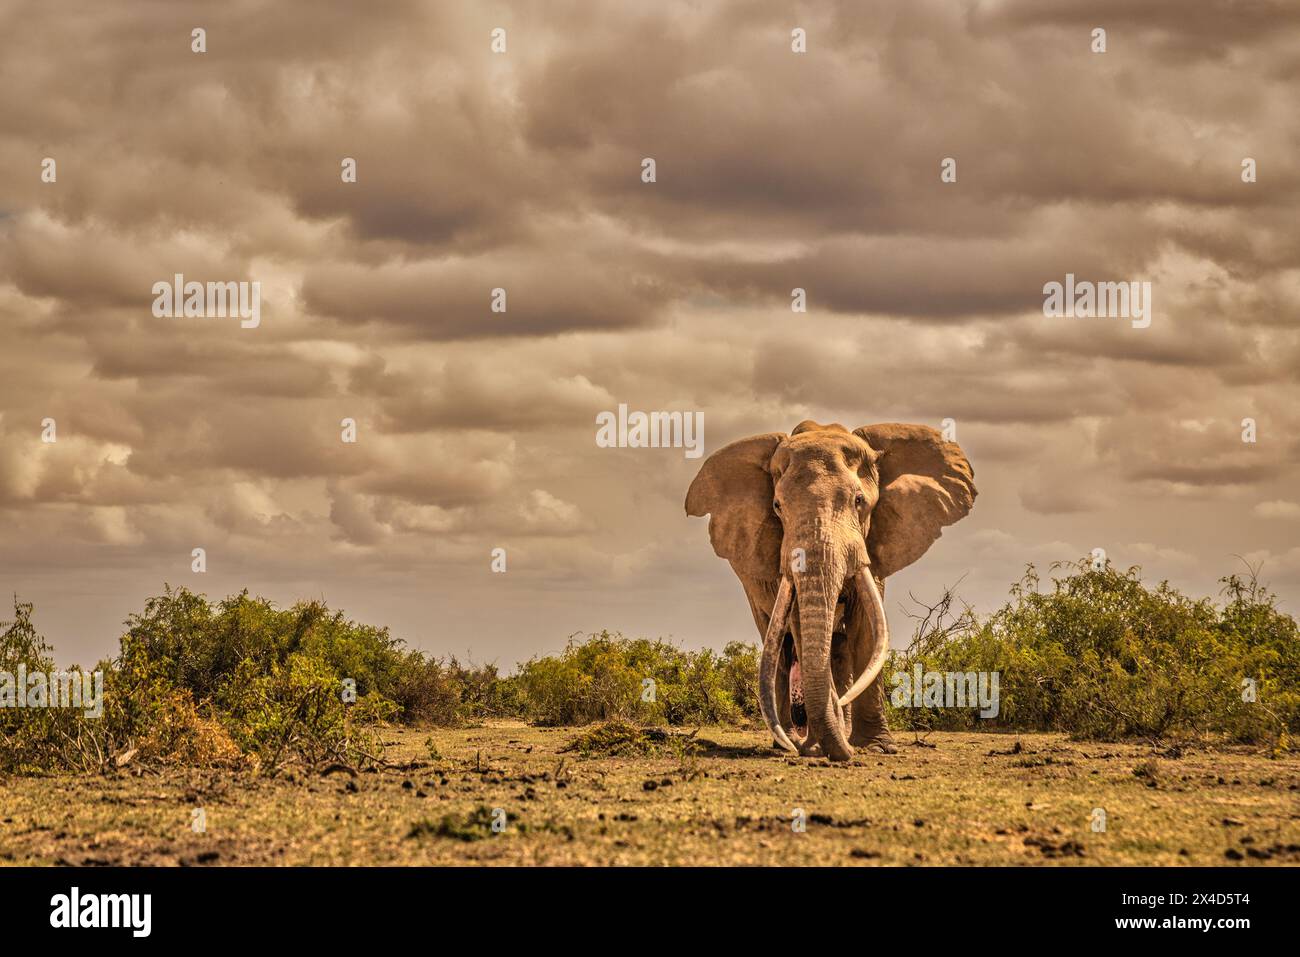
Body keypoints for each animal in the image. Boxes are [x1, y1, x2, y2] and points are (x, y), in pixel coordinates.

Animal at [685, 420, 976, 761]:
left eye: (859, 501)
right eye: (777, 506)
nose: (844, 751)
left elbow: (866, 626)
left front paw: (875, 746)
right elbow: (798, 623)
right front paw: (816, 748)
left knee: (838, 648)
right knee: (780, 648)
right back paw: (787, 743)